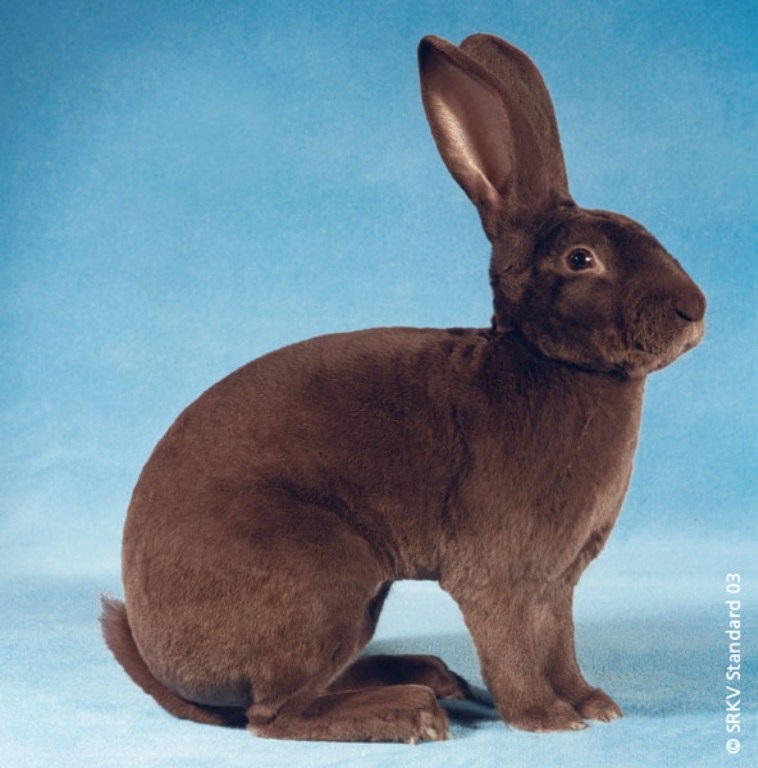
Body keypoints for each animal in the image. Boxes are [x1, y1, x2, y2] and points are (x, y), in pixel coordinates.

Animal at [100, 32, 706, 743]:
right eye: (581, 259)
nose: (695, 309)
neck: (545, 357)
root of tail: (161, 664)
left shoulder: (557, 584)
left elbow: (560, 644)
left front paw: (592, 703)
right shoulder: (501, 578)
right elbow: (514, 649)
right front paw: (546, 719)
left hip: (360, 598)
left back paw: (432, 678)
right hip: (322, 579)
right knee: (273, 715)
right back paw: (411, 710)